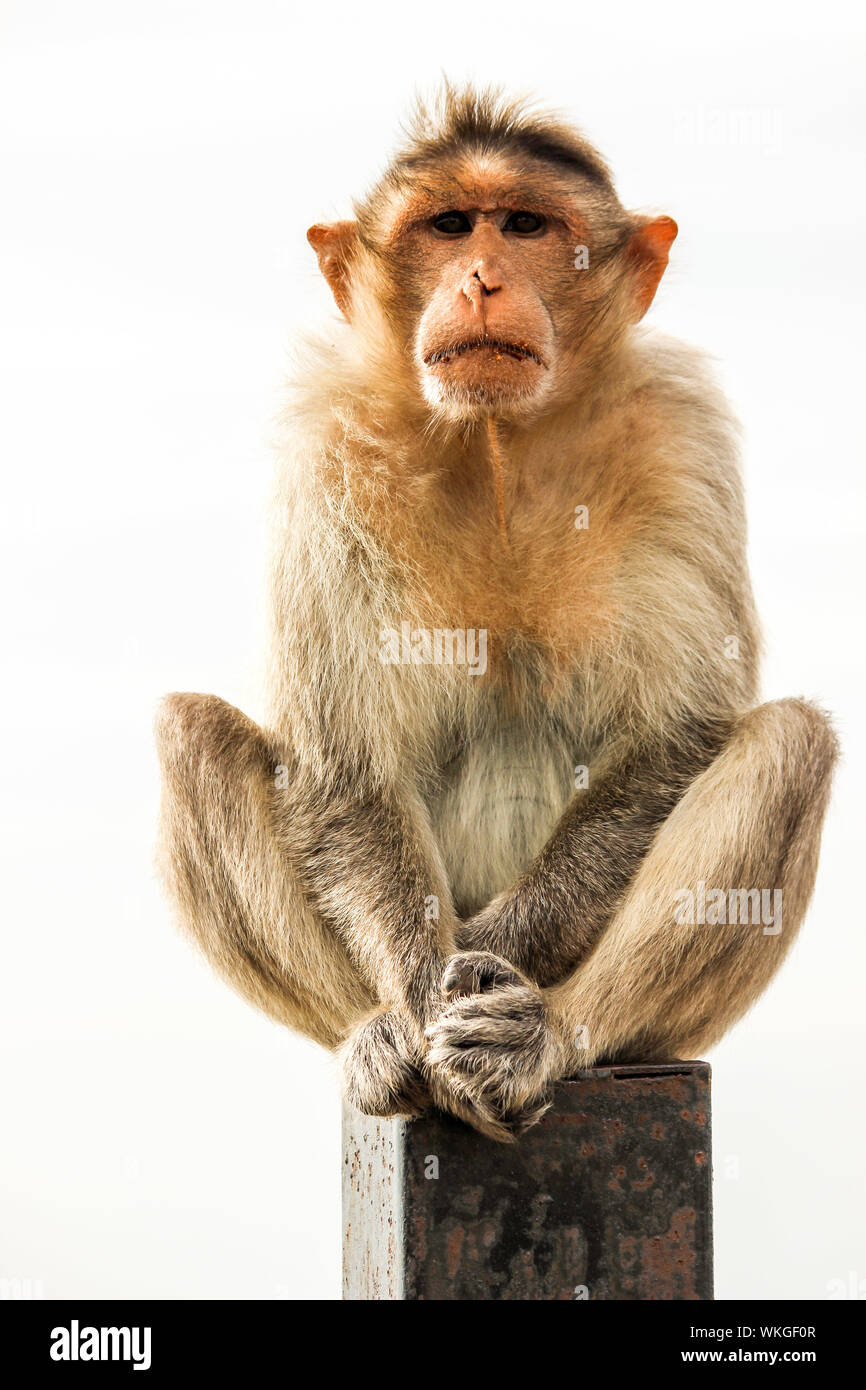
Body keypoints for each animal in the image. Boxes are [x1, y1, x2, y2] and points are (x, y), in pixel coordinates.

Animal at [155, 85, 837, 1142]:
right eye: (447, 226)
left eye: (523, 225)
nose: (480, 277)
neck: (497, 444)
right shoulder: (328, 444)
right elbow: (343, 769)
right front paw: (419, 991)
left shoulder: (679, 430)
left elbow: (677, 737)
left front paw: (494, 960)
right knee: (192, 734)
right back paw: (379, 1039)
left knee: (791, 743)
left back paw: (546, 1034)